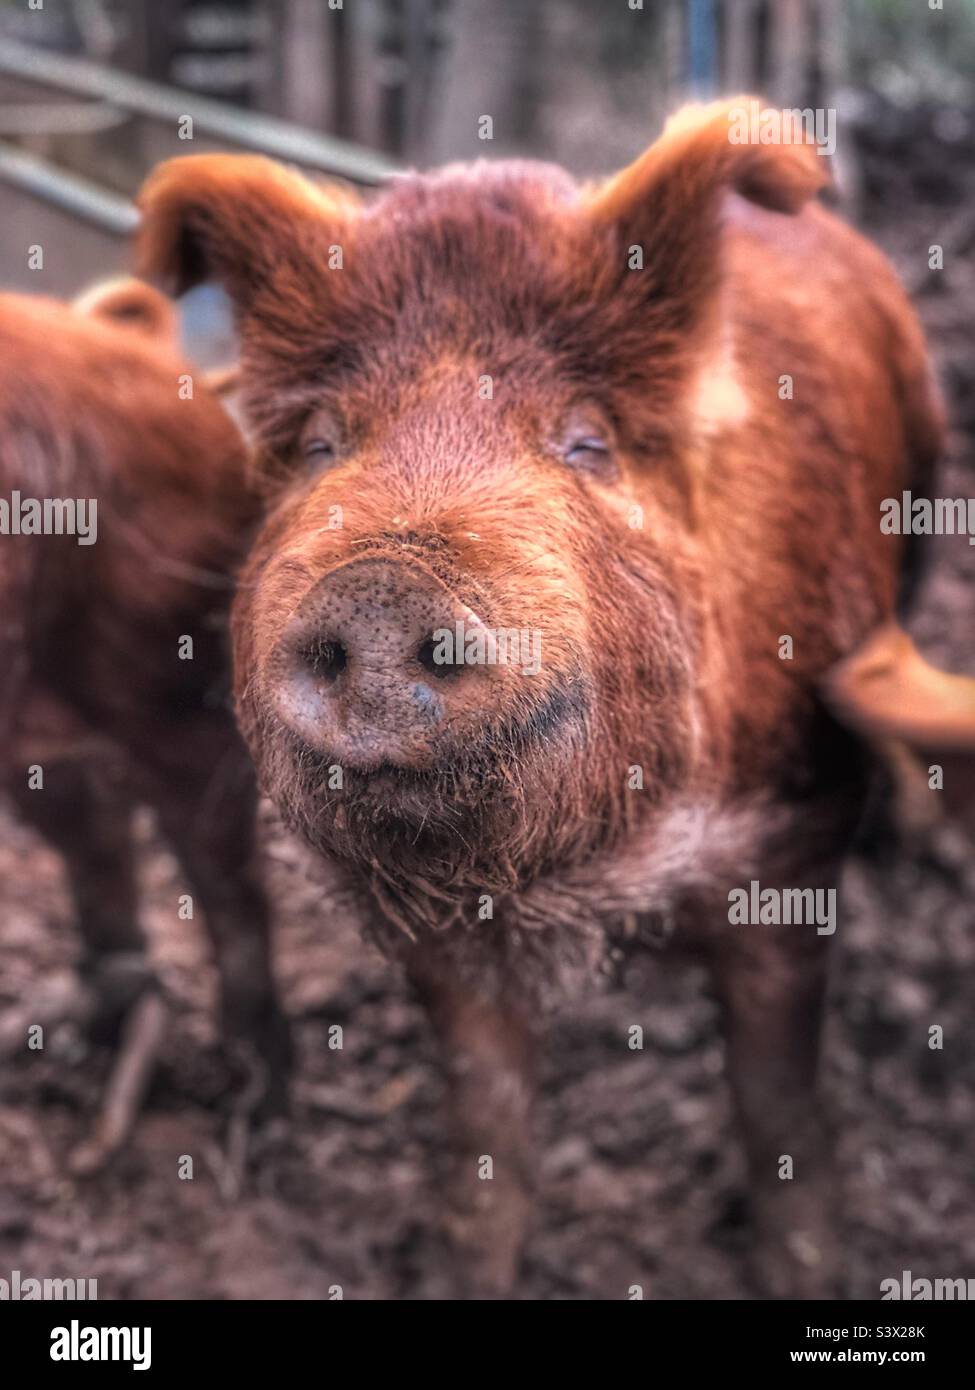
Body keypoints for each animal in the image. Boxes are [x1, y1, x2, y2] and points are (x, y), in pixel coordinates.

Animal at [136, 100, 945, 1296]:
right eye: (323, 443)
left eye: (586, 441)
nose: (380, 585)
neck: (576, 893)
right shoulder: (435, 937)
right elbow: (487, 1129)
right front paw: (458, 1270)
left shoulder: (792, 841)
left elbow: (776, 1106)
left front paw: (809, 1273)